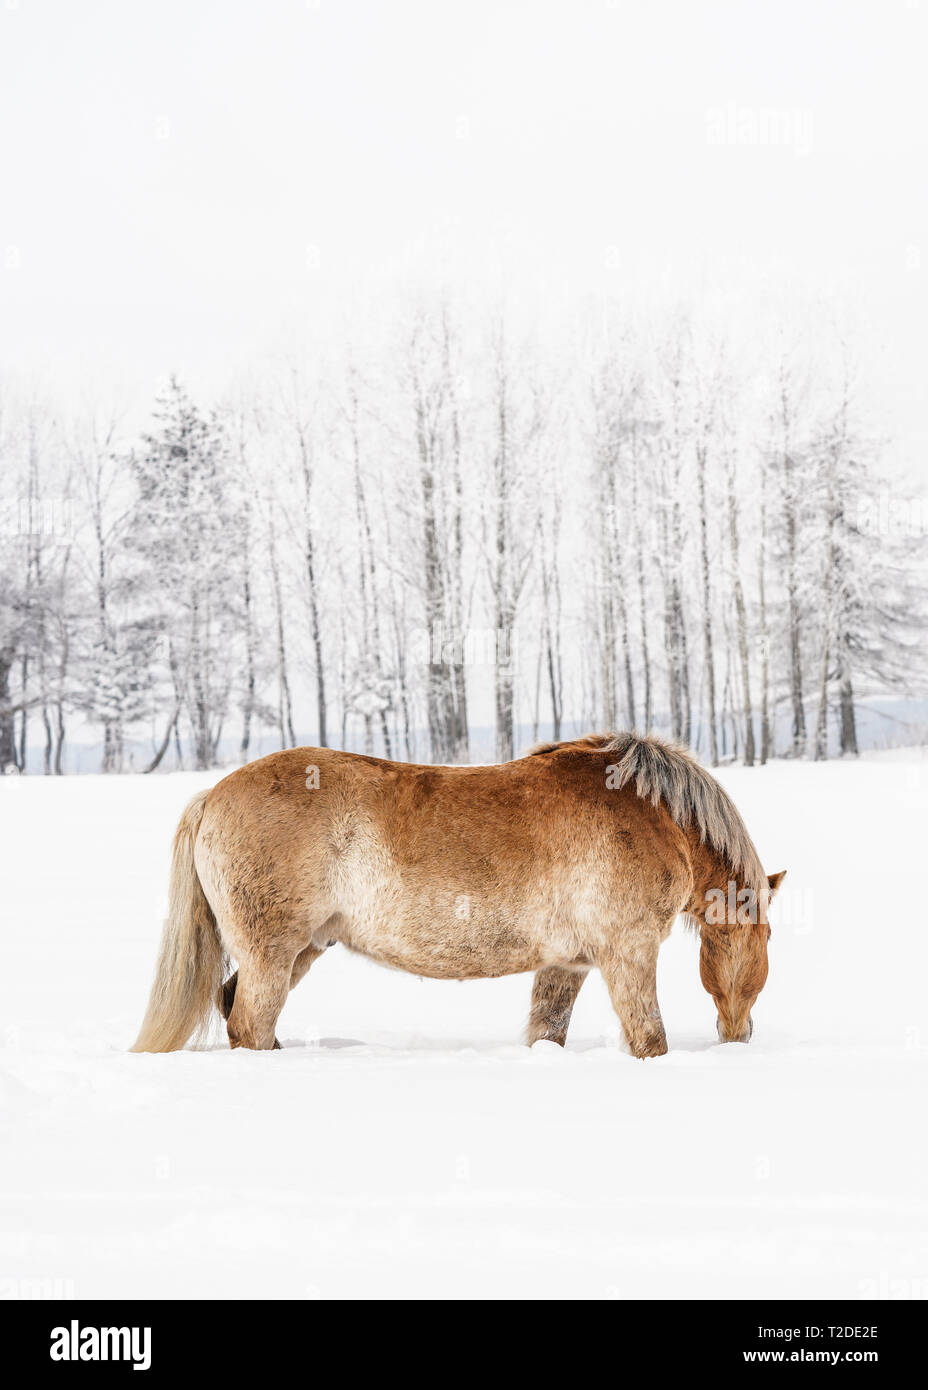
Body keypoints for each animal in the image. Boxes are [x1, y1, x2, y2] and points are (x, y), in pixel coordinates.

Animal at [131, 731, 785, 1058]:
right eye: (768, 934)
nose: (742, 1035)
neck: (650, 814)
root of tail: (213, 795)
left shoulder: (567, 963)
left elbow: (547, 1031)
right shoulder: (628, 953)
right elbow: (651, 1039)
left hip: (301, 951)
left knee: (236, 1011)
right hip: (274, 953)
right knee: (248, 1022)